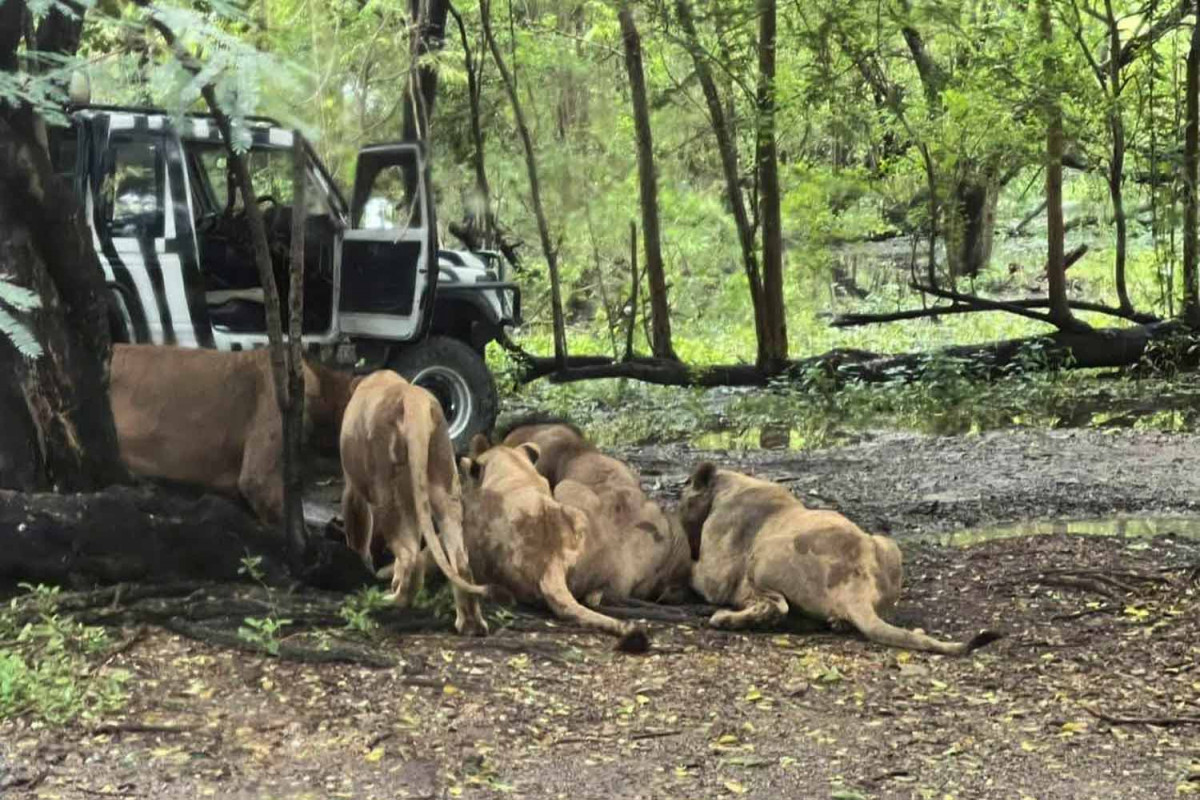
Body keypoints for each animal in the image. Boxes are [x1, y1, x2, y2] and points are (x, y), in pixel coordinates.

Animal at [339, 371, 489, 636]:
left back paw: (392, 601)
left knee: (411, 556)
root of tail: (413, 400)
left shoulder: (352, 487)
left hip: (389, 494)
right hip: (444, 483)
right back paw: (470, 624)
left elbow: (358, 532)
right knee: (460, 561)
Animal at [679, 462, 1001, 655]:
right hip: (887, 544)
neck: (730, 485)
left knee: (777, 607)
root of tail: (857, 581)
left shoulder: (715, 576)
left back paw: (724, 619)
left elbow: (693, 571)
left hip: (766, 554)